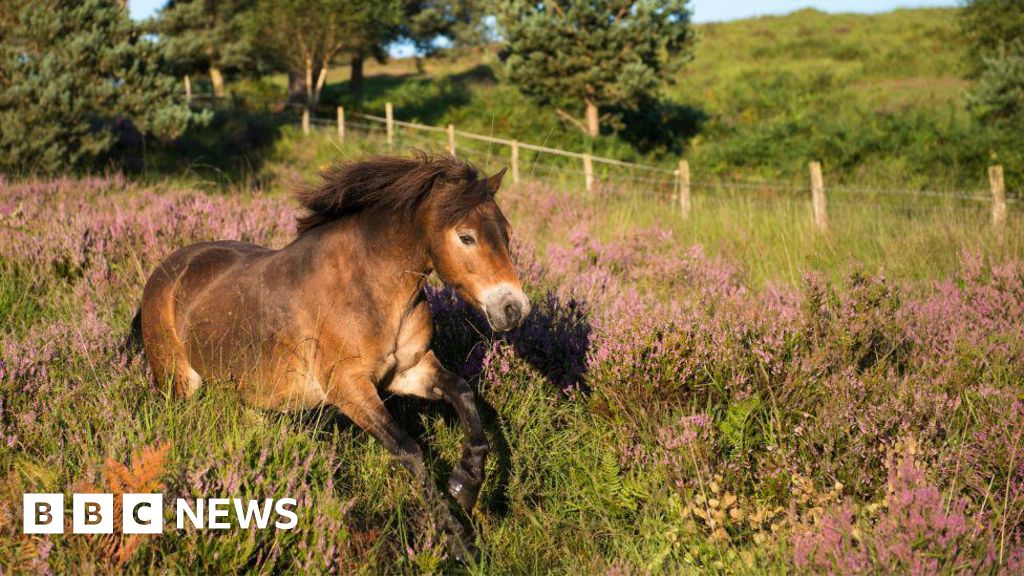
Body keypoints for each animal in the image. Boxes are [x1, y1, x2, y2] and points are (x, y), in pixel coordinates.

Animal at [127, 153, 531, 556]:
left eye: (508, 233)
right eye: (466, 237)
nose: (514, 309)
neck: (370, 287)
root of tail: (165, 271)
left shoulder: (410, 371)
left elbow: (462, 393)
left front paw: (466, 484)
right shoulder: (349, 387)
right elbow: (408, 450)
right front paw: (458, 541)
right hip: (179, 382)